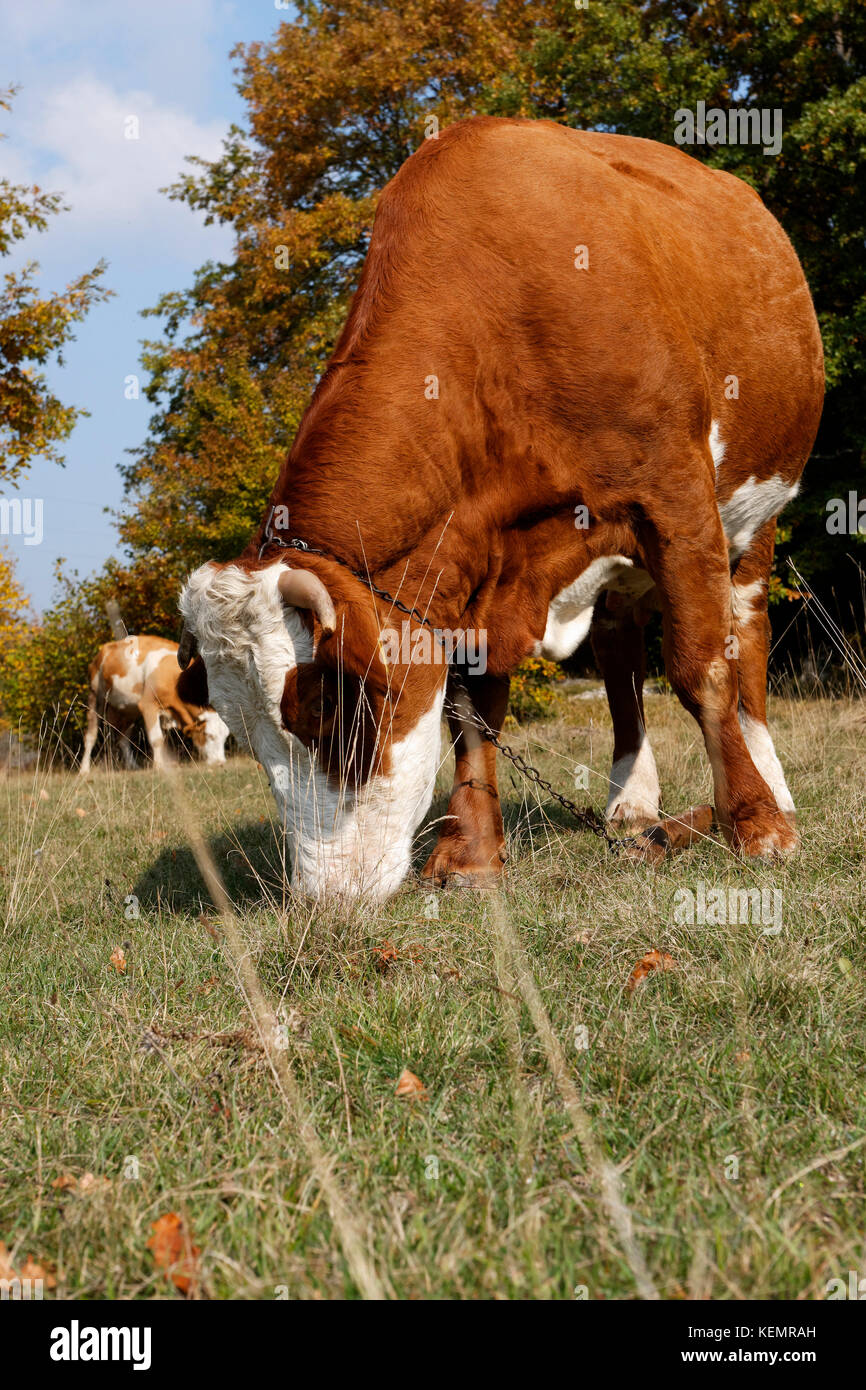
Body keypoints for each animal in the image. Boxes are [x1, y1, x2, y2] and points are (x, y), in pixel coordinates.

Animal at [79, 635, 229, 774]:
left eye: (225, 737)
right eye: (209, 735)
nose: (221, 762)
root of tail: (103, 651)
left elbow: (163, 740)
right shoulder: (148, 705)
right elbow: (157, 739)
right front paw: (159, 767)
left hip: (129, 709)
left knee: (123, 738)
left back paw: (133, 766)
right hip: (95, 697)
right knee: (90, 736)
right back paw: (84, 770)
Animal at [176, 117, 824, 901]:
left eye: (333, 710)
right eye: (244, 736)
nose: (323, 898)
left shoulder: (676, 499)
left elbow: (702, 668)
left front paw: (757, 827)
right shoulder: (472, 563)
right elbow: (472, 711)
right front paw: (470, 853)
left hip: (755, 517)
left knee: (747, 635)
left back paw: (772, 786)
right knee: (619, 652)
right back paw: (632, 800)